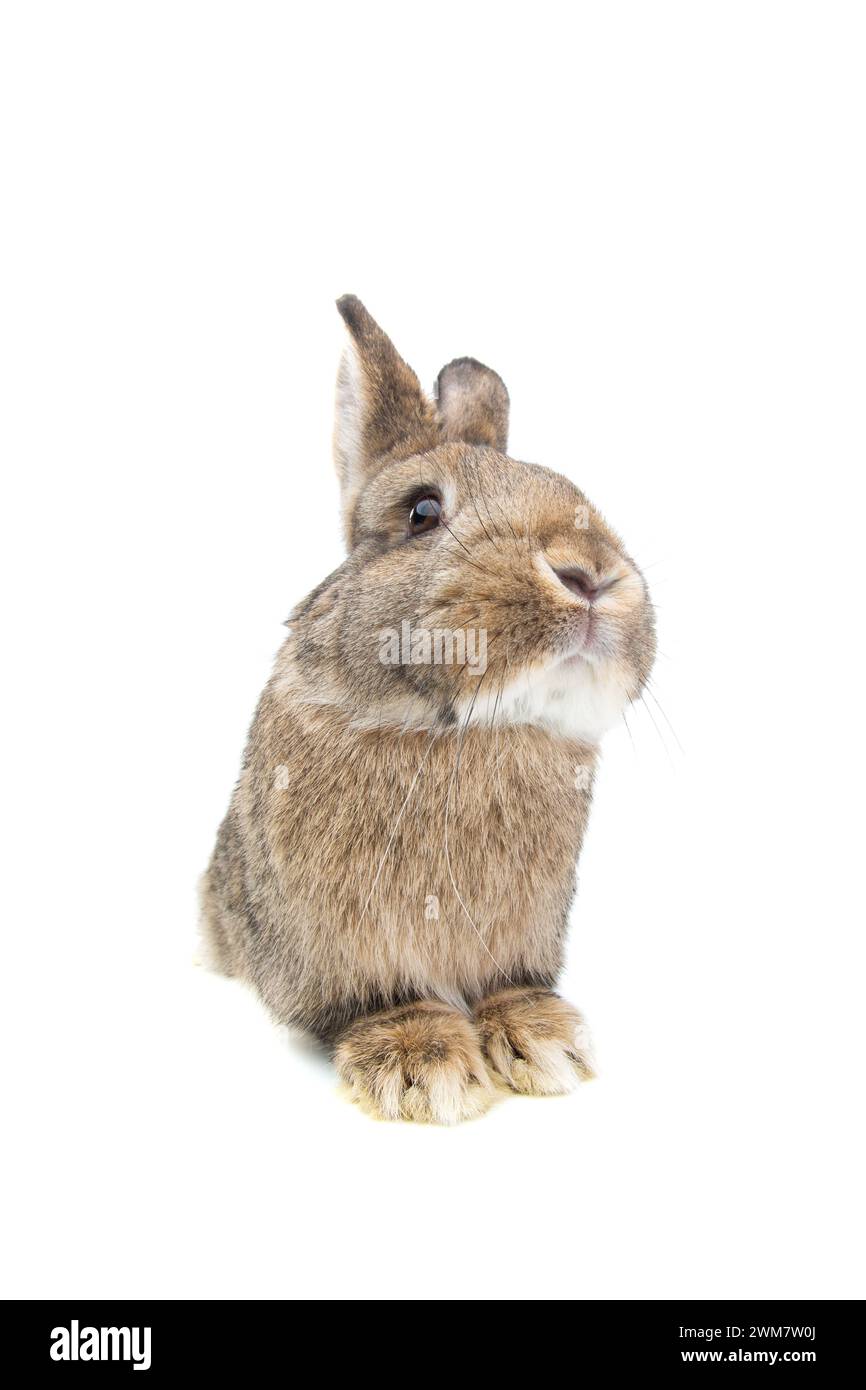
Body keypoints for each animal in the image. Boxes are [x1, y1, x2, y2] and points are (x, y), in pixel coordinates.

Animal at [200, 295, 656, 1123]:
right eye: (421, 512)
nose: (590, 573)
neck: (468, 730)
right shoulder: (339, 947)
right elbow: (383, 1000)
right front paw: (423, 1065)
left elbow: (510, 987)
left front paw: (545, 1042)